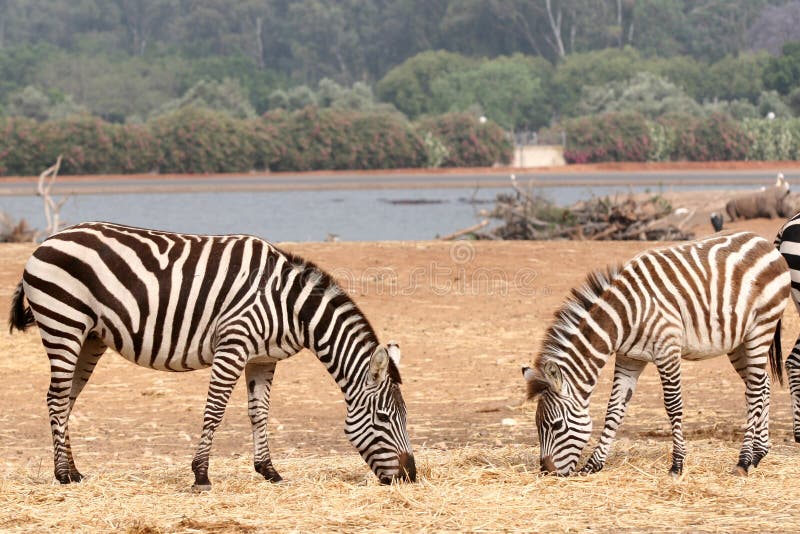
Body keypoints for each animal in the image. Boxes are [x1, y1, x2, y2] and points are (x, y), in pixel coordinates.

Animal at [8, 221, 415, 490]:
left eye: (405, 417)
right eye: (383, 417)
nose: (410, 476)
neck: (291, 306)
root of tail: (49, 240)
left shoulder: (262, 359)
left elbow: (259, 412)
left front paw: (269, 470)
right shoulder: (233, 344)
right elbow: (215, 410)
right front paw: (201, 475)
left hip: (90, 337)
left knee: (65, 399)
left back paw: (73, 470)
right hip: (63, 323)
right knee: (56, 397)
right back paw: (63, 475)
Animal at [521, 231, 790, 476]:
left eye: (556, 425)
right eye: (537, 426)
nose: (546, 472)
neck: (624, 316)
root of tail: (762, 240)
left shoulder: (667, 350)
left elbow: (673, 405)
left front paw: (677, 465)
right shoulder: (629, 358)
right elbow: (614, 410)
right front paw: (593, 465)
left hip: (760, 328)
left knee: (755, 392)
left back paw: (743, 461)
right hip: (738, 341)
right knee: (762, 384)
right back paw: (757, 454)